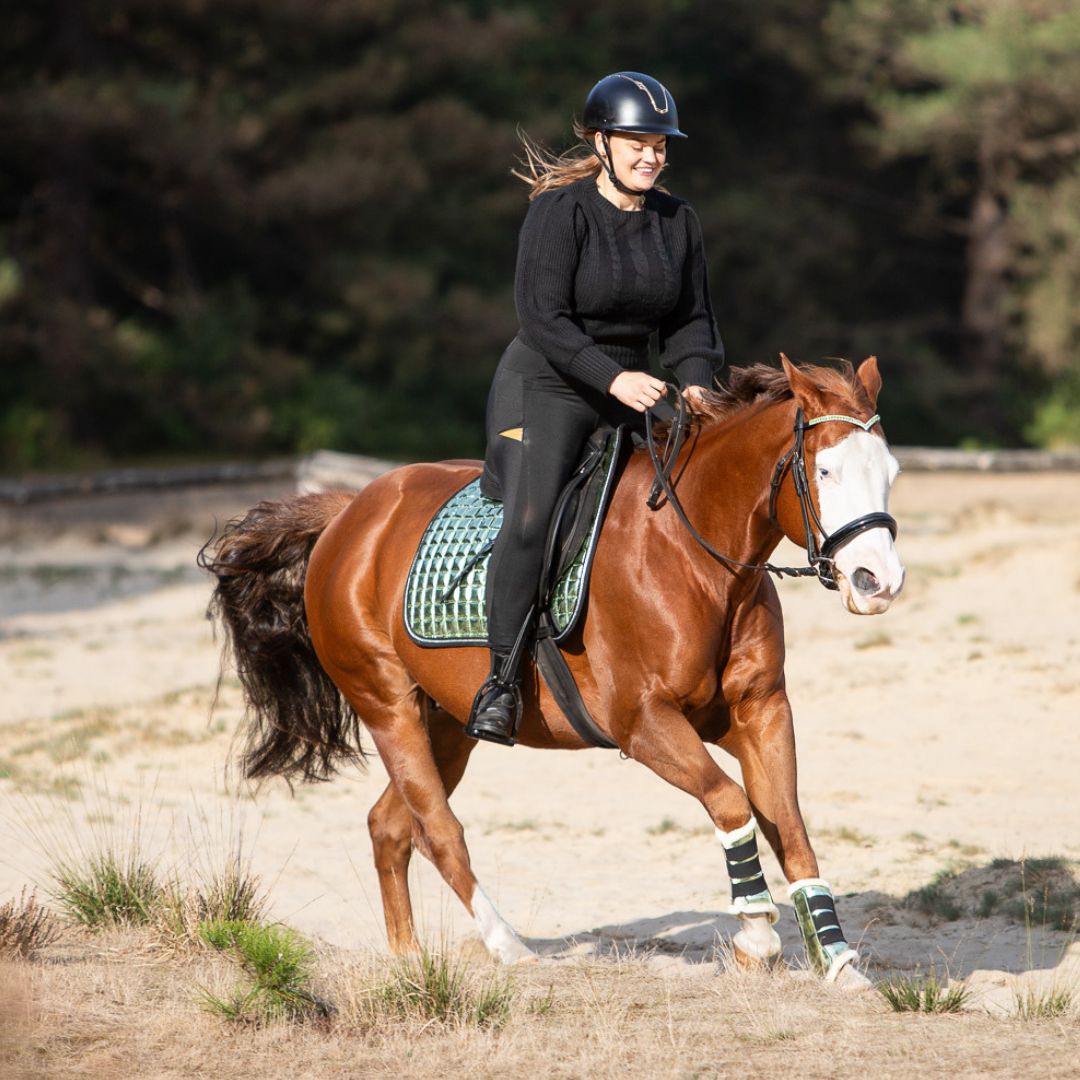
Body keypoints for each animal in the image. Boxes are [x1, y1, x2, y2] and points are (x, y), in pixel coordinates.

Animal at [201, 355, 905, 985]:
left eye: (891, 471)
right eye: (826, 470)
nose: (879, 582)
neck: (699, 561)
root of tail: (350, 513)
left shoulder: (759, 713)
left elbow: (791, 827)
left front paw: (838, 961)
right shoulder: (643, 725)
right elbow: (732, 805)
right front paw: (756, 938)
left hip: (448, 724)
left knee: (390, 826)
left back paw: (407, 961)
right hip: (387, 704)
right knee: (437, 829)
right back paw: (508, 948)